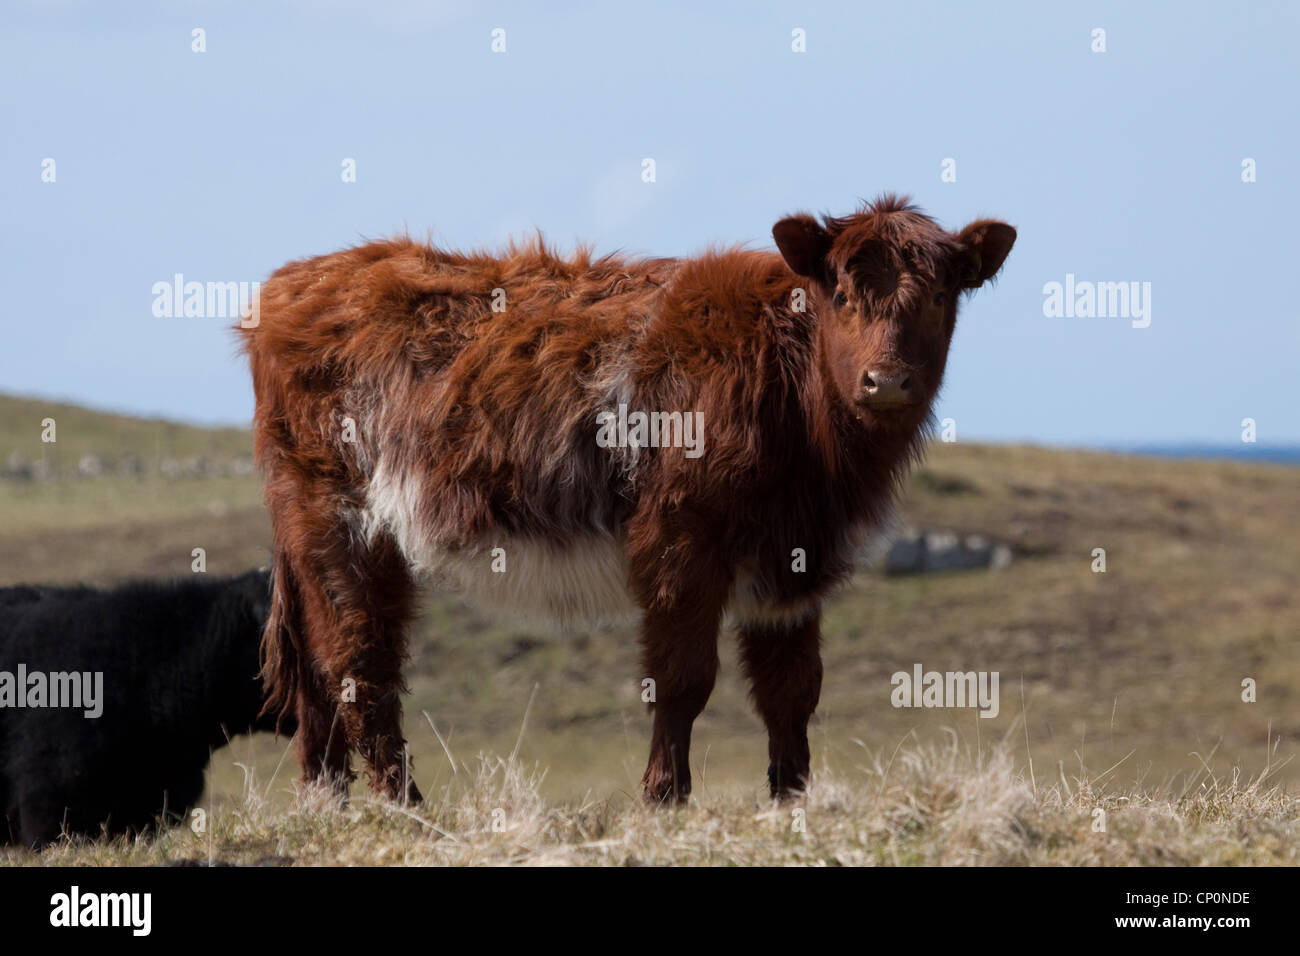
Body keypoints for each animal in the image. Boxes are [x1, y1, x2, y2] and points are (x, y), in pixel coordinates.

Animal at [244, 195, 1015, 804]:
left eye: (939, 298)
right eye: (844, 297)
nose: (887, 381)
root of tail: (294, 282)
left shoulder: (793, 563)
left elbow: (791, 690)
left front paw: (791, 800)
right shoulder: (680, 538)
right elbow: (683, 678)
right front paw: (665, 796)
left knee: (319, 672)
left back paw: (327, 802)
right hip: (342, 523)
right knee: (358, 662)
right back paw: (406, 806)